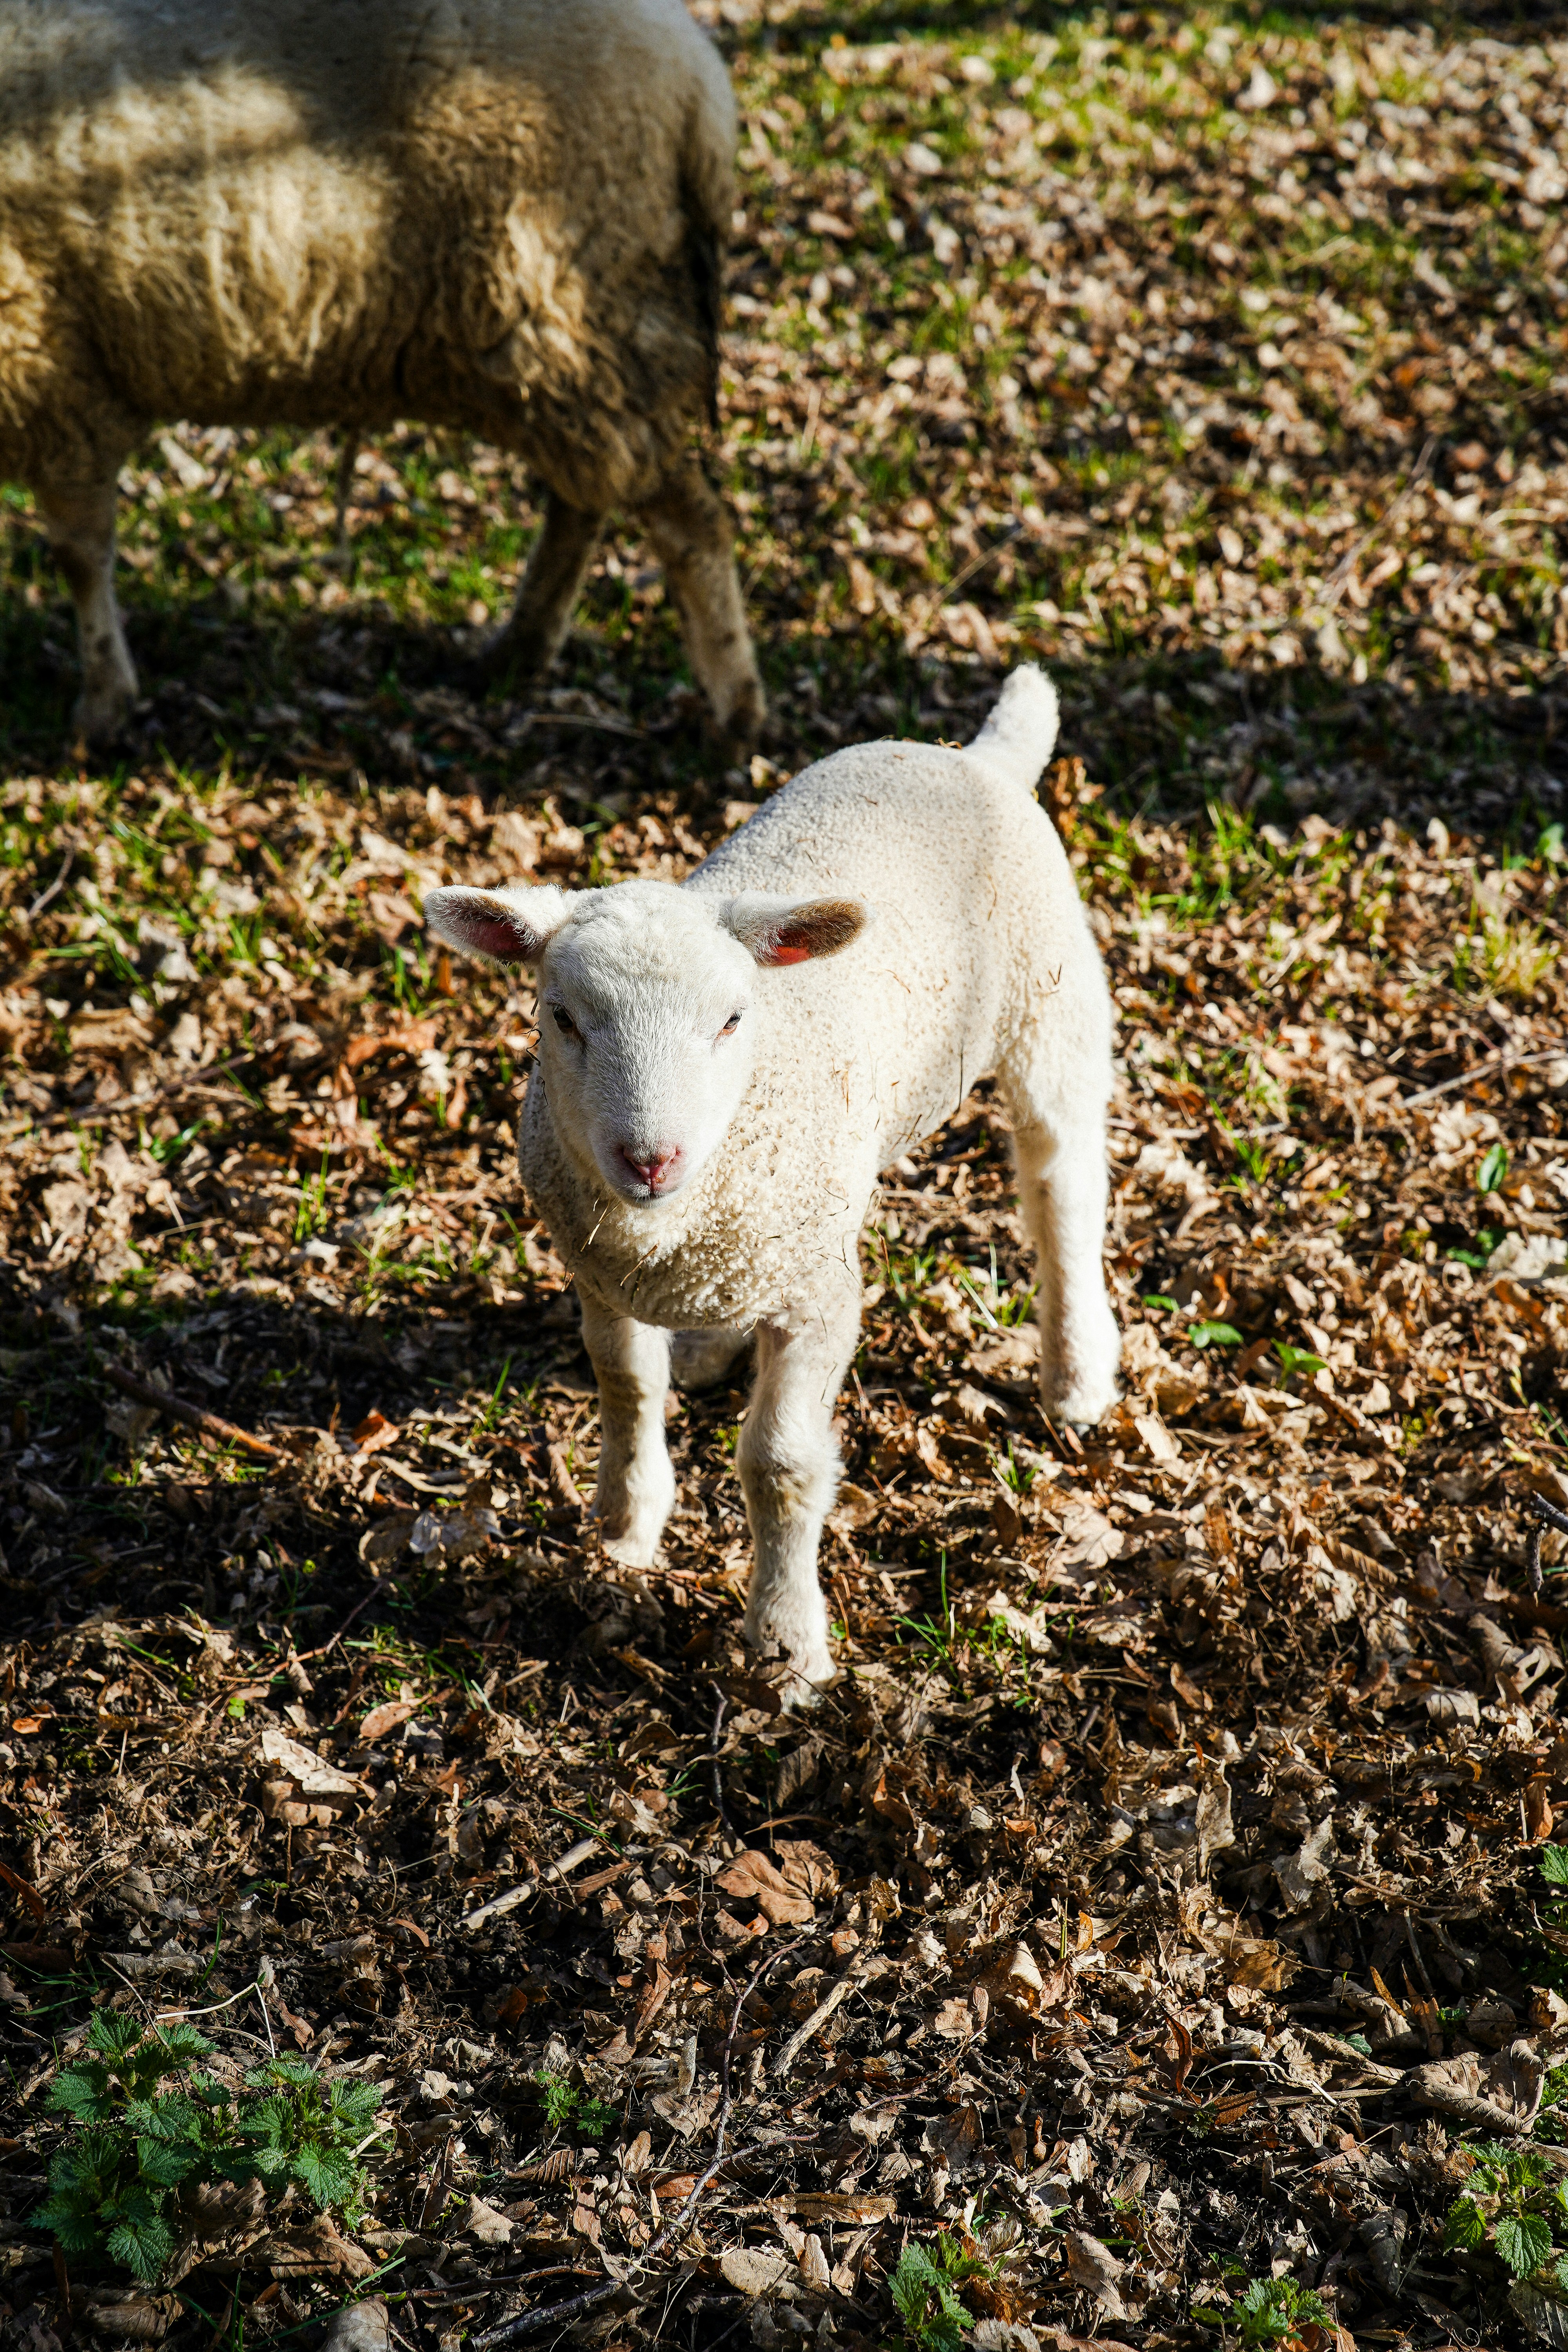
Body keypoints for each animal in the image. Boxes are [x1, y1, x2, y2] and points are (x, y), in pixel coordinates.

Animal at [0, 0, 763, 749]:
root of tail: (699, 78)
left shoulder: (49, 364)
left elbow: (80, 551)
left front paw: (103, 706)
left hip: (574, 312)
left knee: (689, 523)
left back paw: (735, 716)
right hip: (569, 345)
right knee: (586, 501)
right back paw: (517, 653)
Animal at [425, 665, 1121, 1704]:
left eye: (731, 1019)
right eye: (561, 1017)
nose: (651, 1159)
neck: (667, 1229)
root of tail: (976, 756)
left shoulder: (817, 1295)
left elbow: (782, 1466)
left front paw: (785, 1644)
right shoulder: (599, 1274)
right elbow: (626, 1385)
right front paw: (626, 1523)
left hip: (1052, 1003)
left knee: (1060, 1180)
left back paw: (1076, 1373)